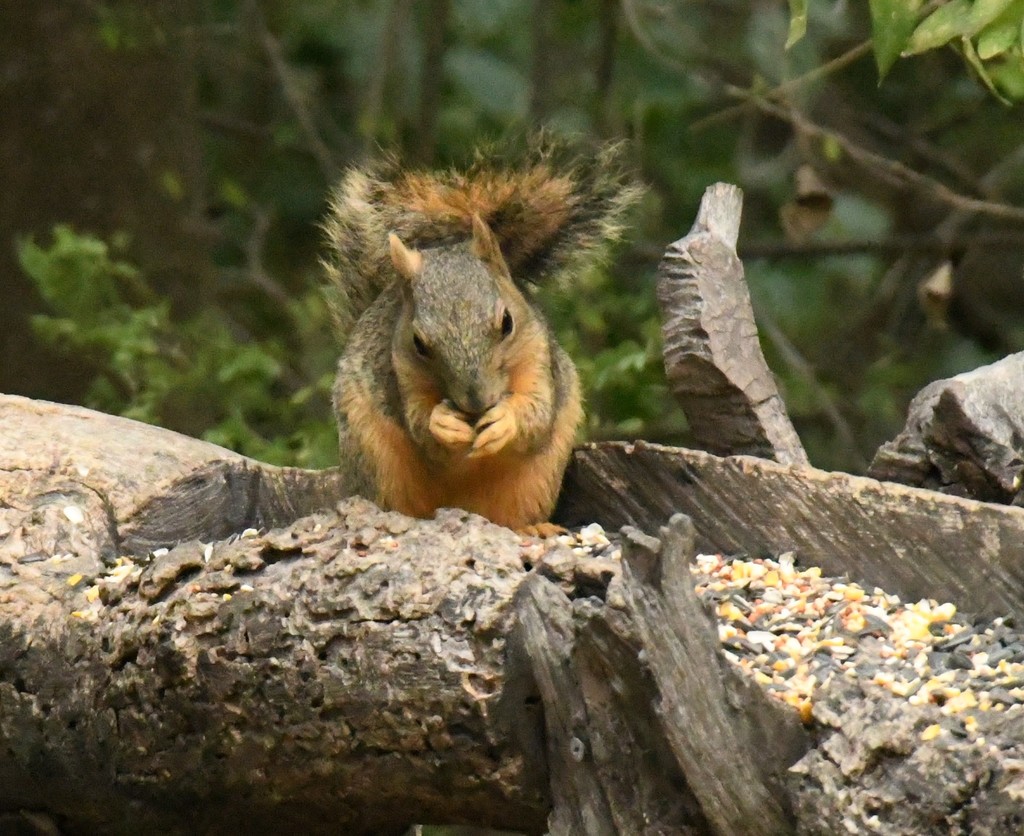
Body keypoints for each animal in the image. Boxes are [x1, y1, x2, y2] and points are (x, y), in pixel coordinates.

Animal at [321, 136, 640, 534]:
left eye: (507, 323)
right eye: (418, 343)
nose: (476, 402)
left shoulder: (538, 359)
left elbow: (537, 412)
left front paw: (505, 420)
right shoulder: (400, 374)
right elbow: (420, 428)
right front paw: (441, 423)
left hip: (535, 479)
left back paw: (532, 528)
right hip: (372, 456)